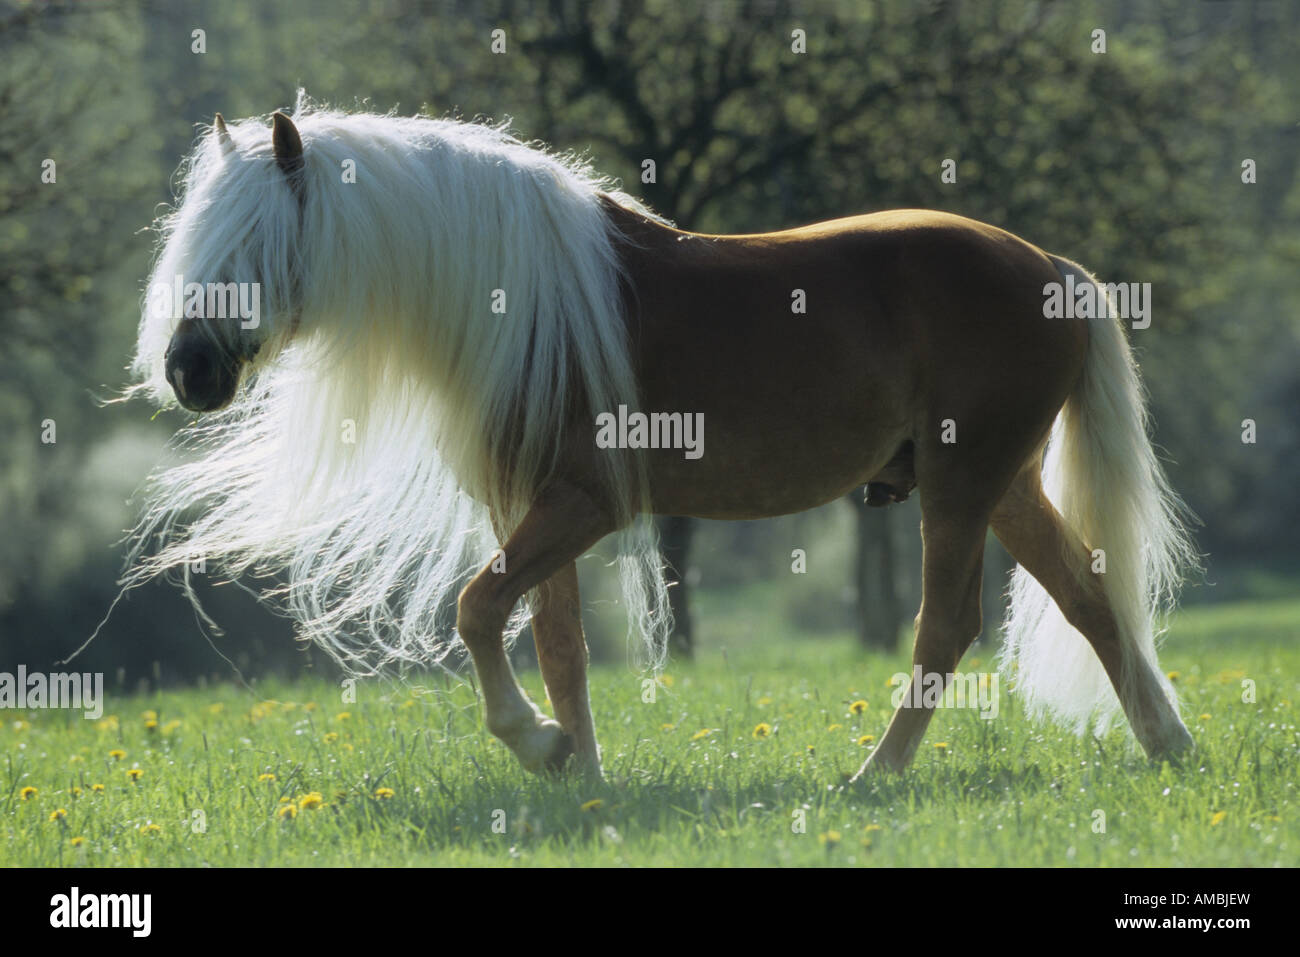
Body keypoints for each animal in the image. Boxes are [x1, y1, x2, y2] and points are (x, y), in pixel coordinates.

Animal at [128, 101, 1197, 779]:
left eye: (254, 247)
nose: (188, 370)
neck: (517, 307)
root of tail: (1049, 264)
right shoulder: (534, 511)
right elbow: (556, 642)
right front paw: (586, 778)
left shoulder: (581, 505)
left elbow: (478, 612)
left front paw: (538, 745)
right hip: (1001, 484)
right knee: (1093, 599)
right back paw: (1168, 745)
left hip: (962, 487)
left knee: (946, 628)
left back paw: (873, 778)